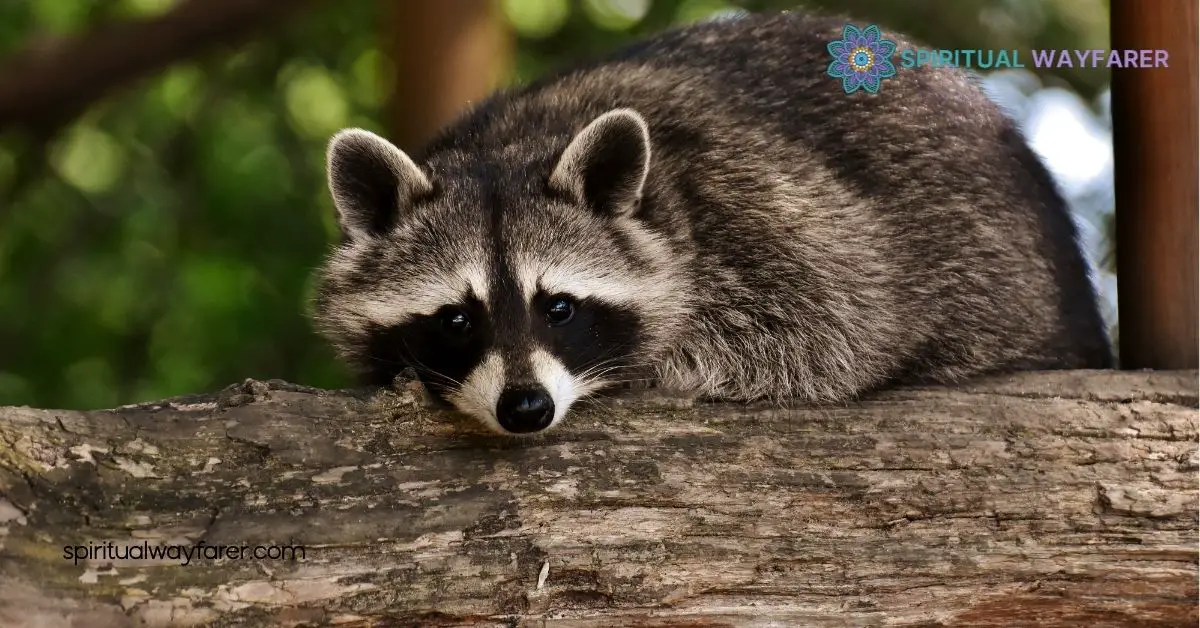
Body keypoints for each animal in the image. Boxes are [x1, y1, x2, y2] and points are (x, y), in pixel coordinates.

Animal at [312, 11, 1112, 435]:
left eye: (559, 307)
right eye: (455, 318)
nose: (527, 409)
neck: (511, 145)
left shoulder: (771, 217)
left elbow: (835, 331)